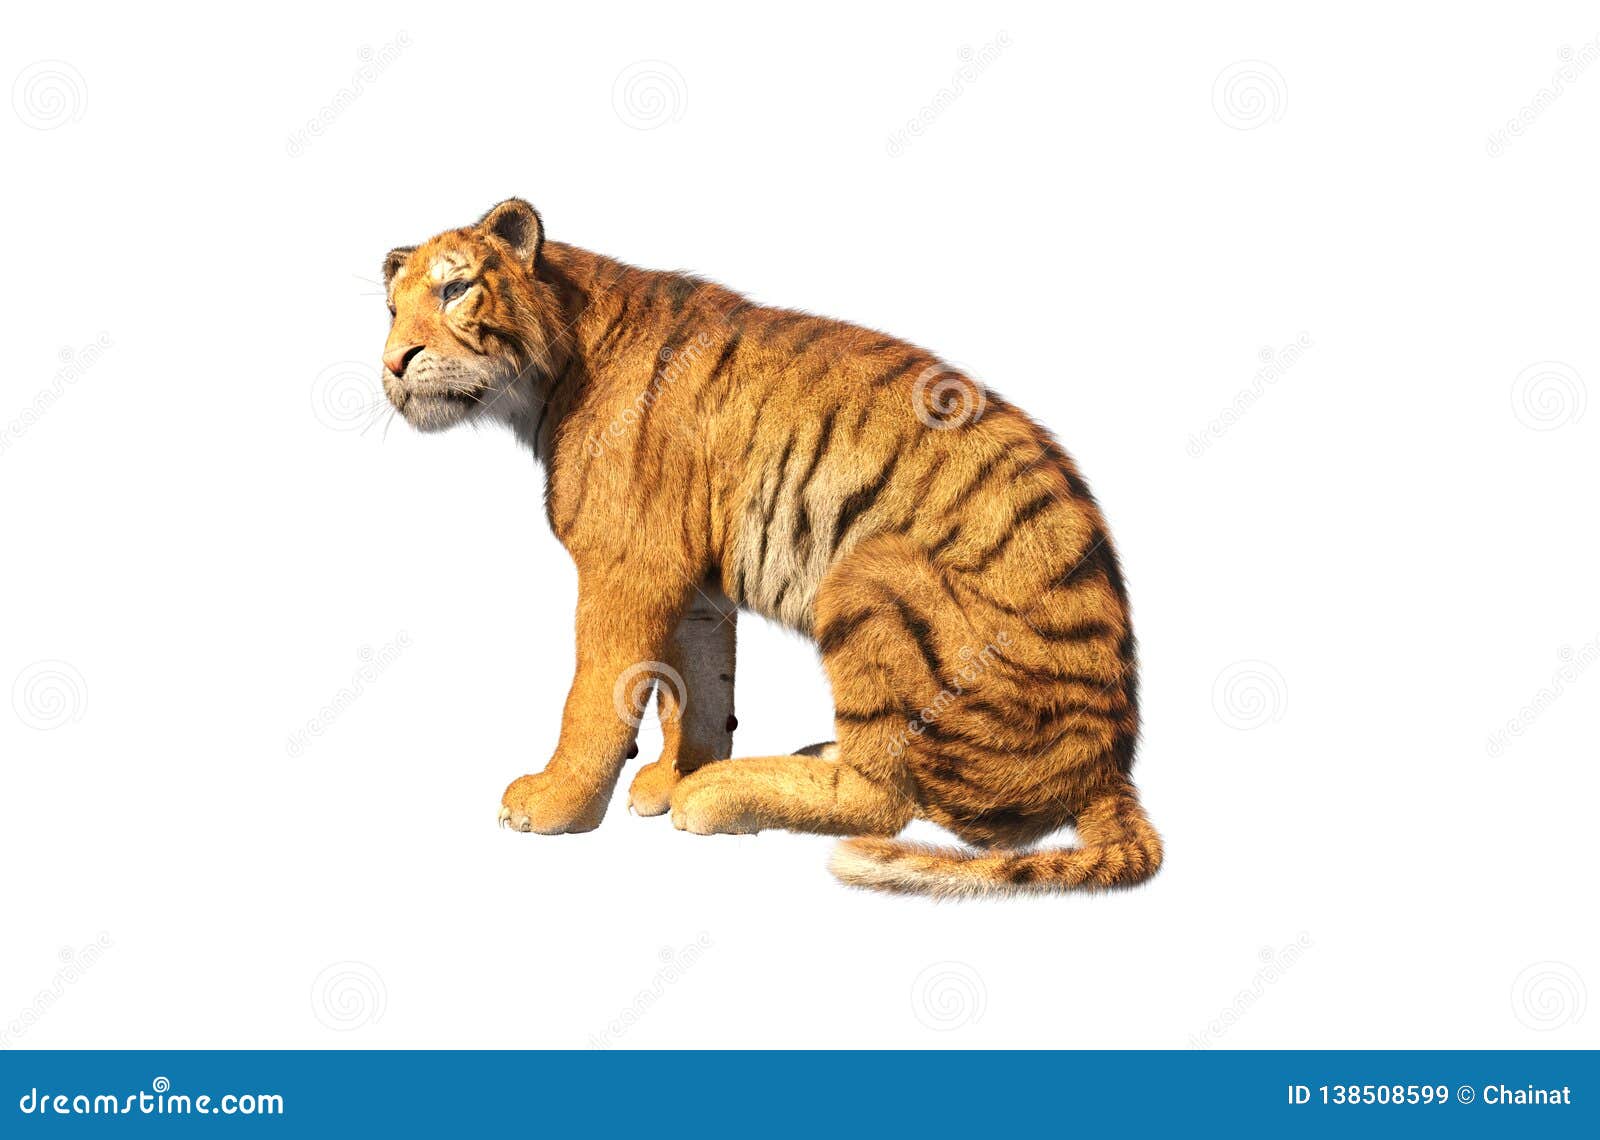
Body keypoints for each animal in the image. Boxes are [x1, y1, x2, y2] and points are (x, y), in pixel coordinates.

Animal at [378, 198, 1162, 898]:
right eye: (390, 309)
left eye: (454, 289)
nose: (393, 364)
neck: (547, 374)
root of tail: (1107, 767)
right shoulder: (695, 586)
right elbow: (694, 690)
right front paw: (672, 775)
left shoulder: (627, 568)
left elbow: (597, 694)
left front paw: (554, 805)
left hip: (868, 569)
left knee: (882, 799)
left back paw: (723, 795)